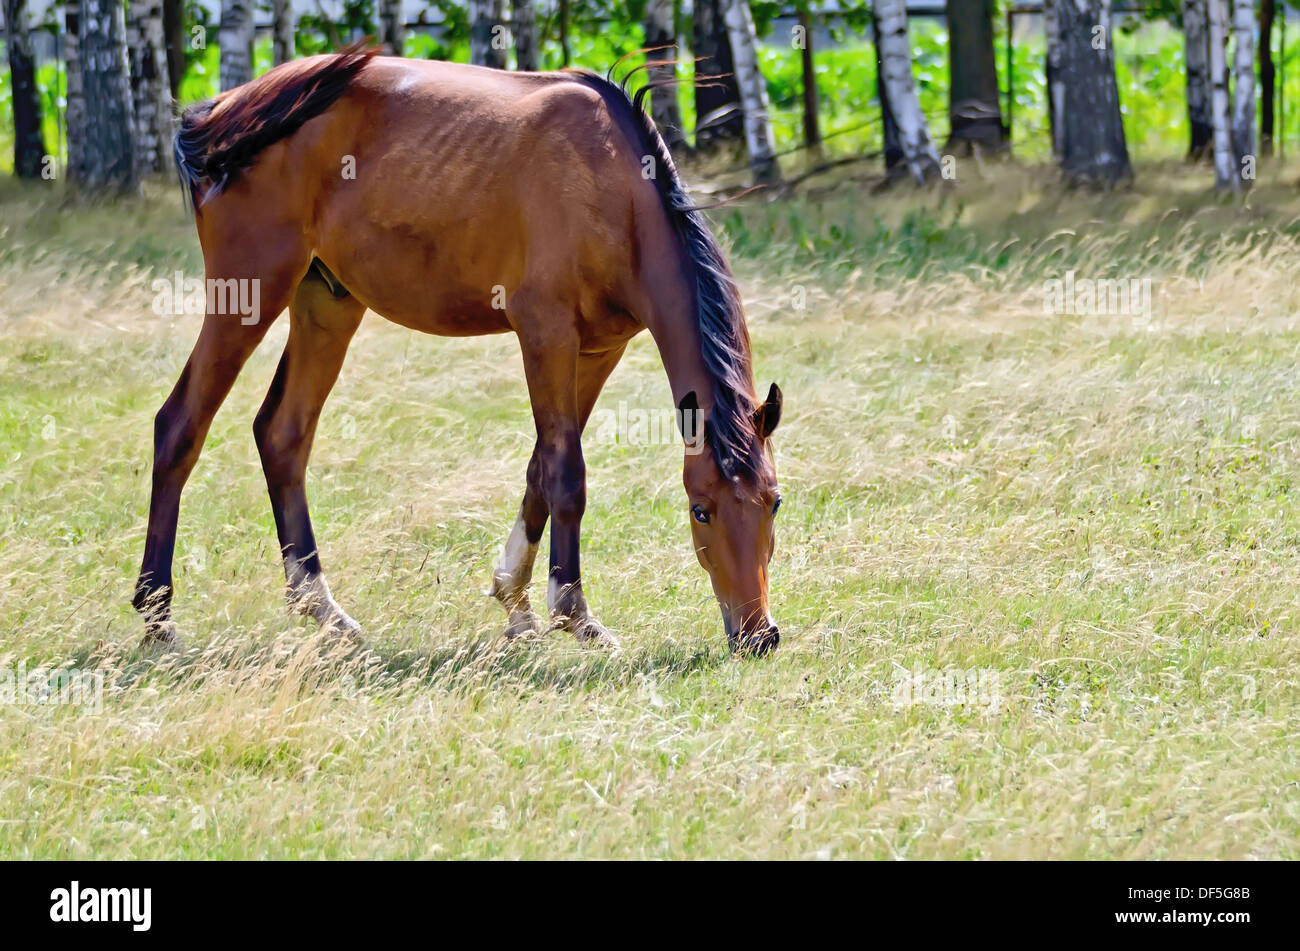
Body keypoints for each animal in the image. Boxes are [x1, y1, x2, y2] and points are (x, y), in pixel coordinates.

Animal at [133, 45, 784, 655]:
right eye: (701, 510)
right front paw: (574, 613)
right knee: (179, 425)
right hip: (249, 294)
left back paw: (321, 607)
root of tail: (223, 112)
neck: (612, 186)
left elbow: (540, 469)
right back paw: (157, 616)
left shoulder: (598, 352)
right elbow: (565, 473)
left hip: (326, 304)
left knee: (282, 434)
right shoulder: (546, 336)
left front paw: (515, 601)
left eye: (774, 503)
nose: (758, 634)